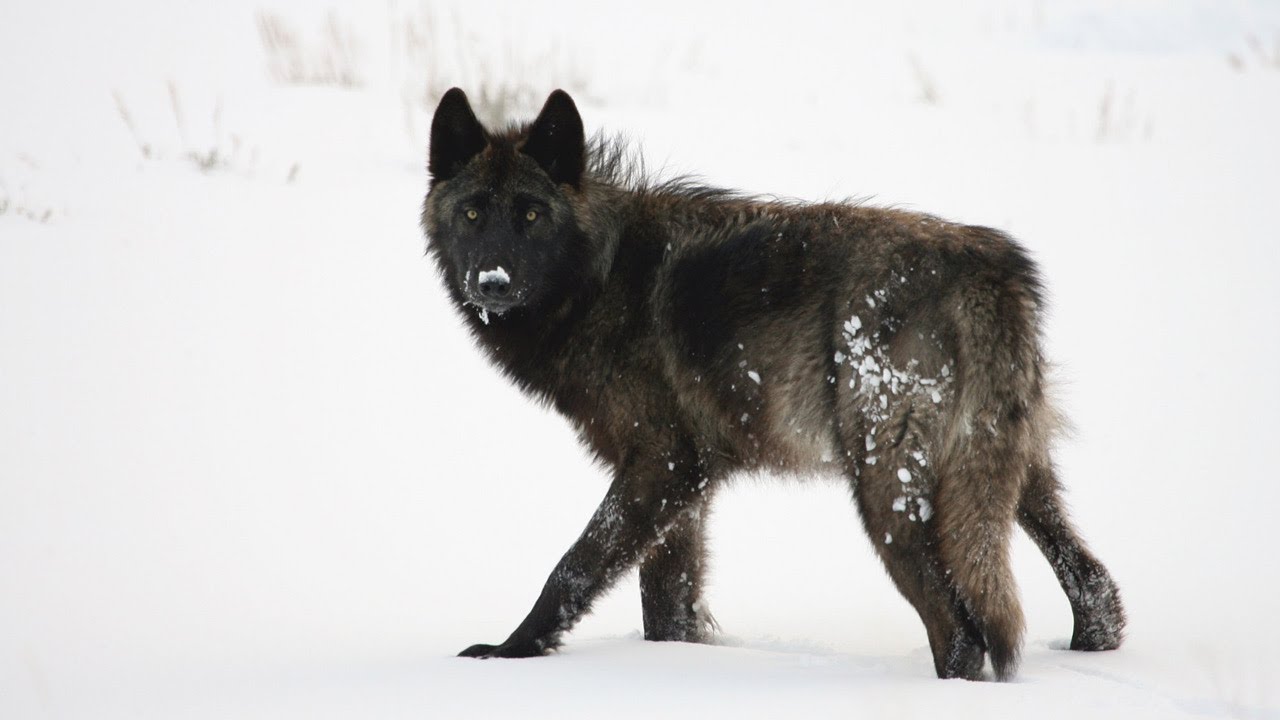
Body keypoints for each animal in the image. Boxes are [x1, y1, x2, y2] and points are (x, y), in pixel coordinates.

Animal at [420, 87, 1125, 680]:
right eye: (474, 212)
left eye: (532, 215)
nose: (492, 282)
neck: (599, 277)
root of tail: (989, 269)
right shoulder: (687, 486)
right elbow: (666, 607)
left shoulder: (661, 464)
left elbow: (573, 568)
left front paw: (508, 652)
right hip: (1010, 476)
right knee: (1094, 585)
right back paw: (1091, 644)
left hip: (887, 493)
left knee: (961, 632)